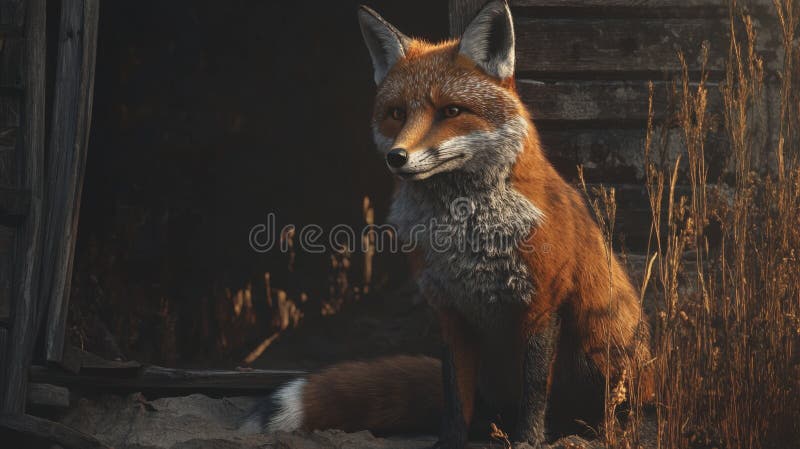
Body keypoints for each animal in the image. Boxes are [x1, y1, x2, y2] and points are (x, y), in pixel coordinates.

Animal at [241, 1, 654, 448]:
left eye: (451, 111)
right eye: (397, 114)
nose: (397, 157)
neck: (465, 236)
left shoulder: (542, 303)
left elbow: (533, 393)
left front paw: (527, 440)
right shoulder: (449, 310)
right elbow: (455, 395)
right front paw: (451, 440)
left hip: (605, 356)